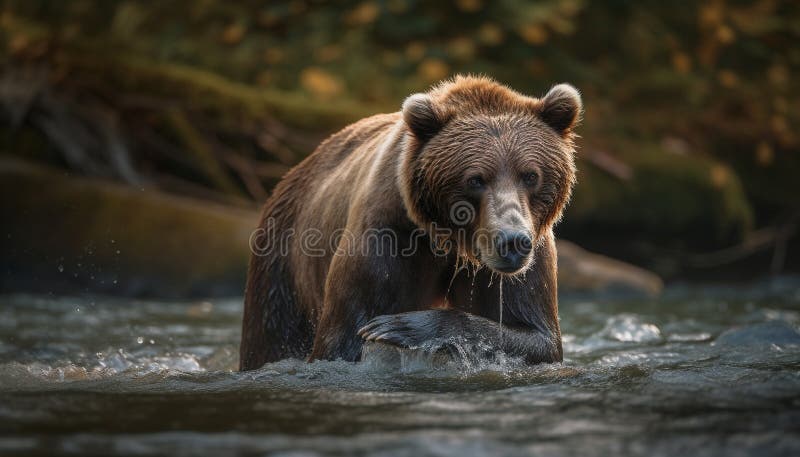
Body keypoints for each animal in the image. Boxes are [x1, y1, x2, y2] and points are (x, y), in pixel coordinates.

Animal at [239, 75, 581, 371]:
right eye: (475, 179)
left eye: (531, 175)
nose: (512, 241)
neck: (446, 238)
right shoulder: (388, 235)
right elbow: (342, 338)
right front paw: (380, 327)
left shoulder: (521, 258)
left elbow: (534, 335)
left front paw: (401, 326)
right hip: (283, 265)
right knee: (272, 334)